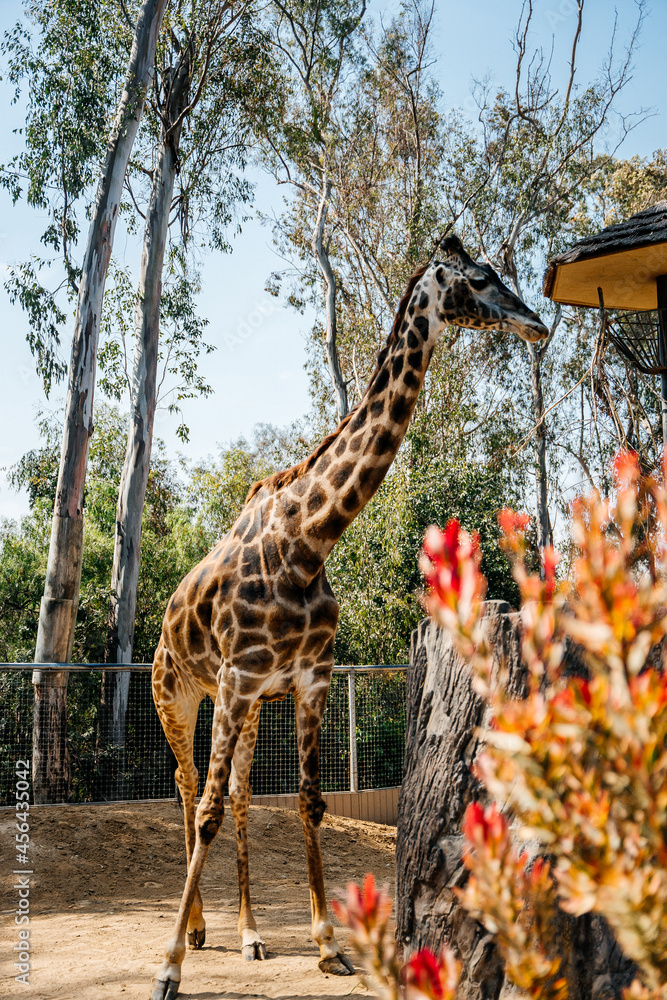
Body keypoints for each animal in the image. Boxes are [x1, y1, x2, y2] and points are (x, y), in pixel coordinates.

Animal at [150, 235, 548, 1000]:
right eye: (482, 278)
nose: (536, 324)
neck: (310, 537)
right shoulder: (241, 677)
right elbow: (208, 808)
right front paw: (167, 968)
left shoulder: (308, 678)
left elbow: (307, 800)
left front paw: (328, 945)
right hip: (178, 694)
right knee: (190, 789)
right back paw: (196, 931)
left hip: (242, 706)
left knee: (237, 793)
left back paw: (246, 933)